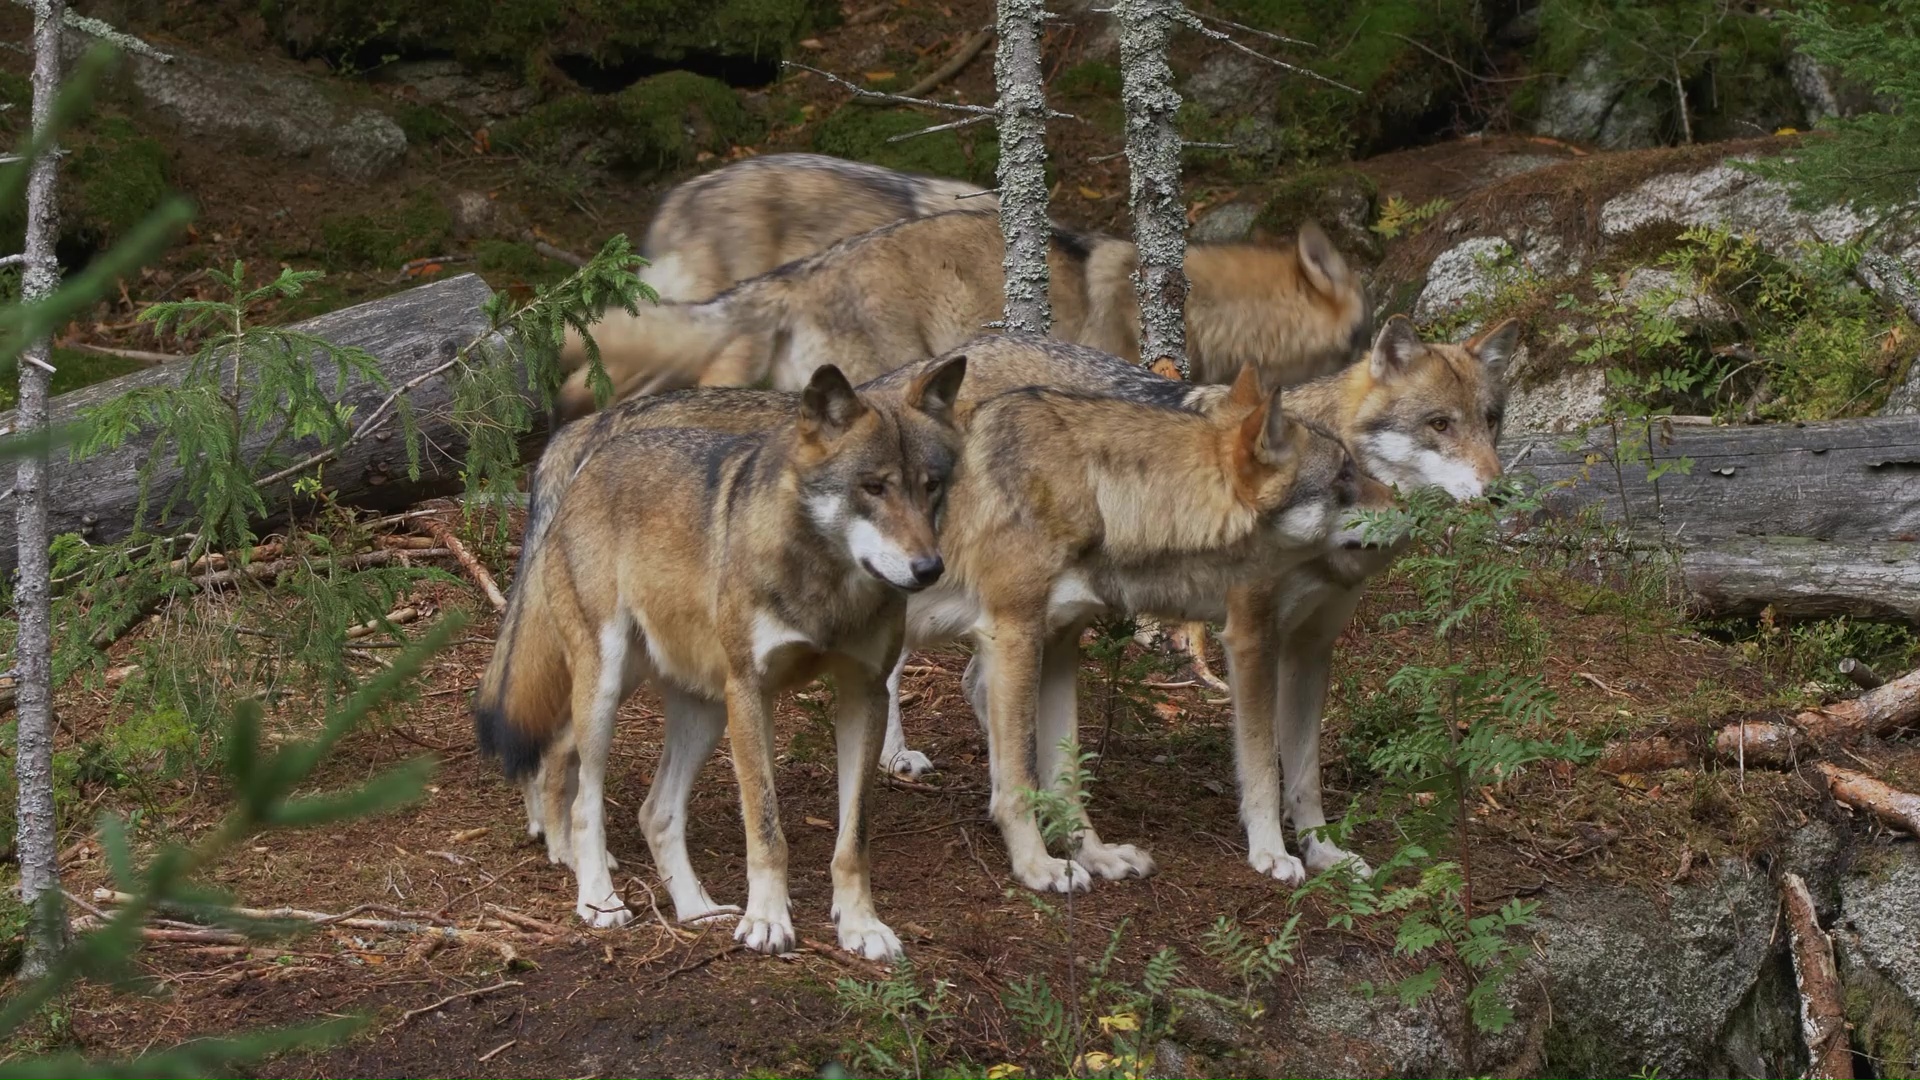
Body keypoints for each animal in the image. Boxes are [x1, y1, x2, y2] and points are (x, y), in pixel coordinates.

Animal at [473, 357, 968, 960]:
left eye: (931, 487)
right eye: (872, 488)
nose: (929, 569)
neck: (826, 585)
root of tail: (589, 451)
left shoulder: (865, 694)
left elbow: (853, 840)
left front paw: (861, 926)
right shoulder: (750, 691)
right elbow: (766, 829)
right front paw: (767, 922)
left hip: (701, 708)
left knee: (650, 809)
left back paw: (697, 911)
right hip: (611, 689)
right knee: (586, 802)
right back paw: (600, 901)